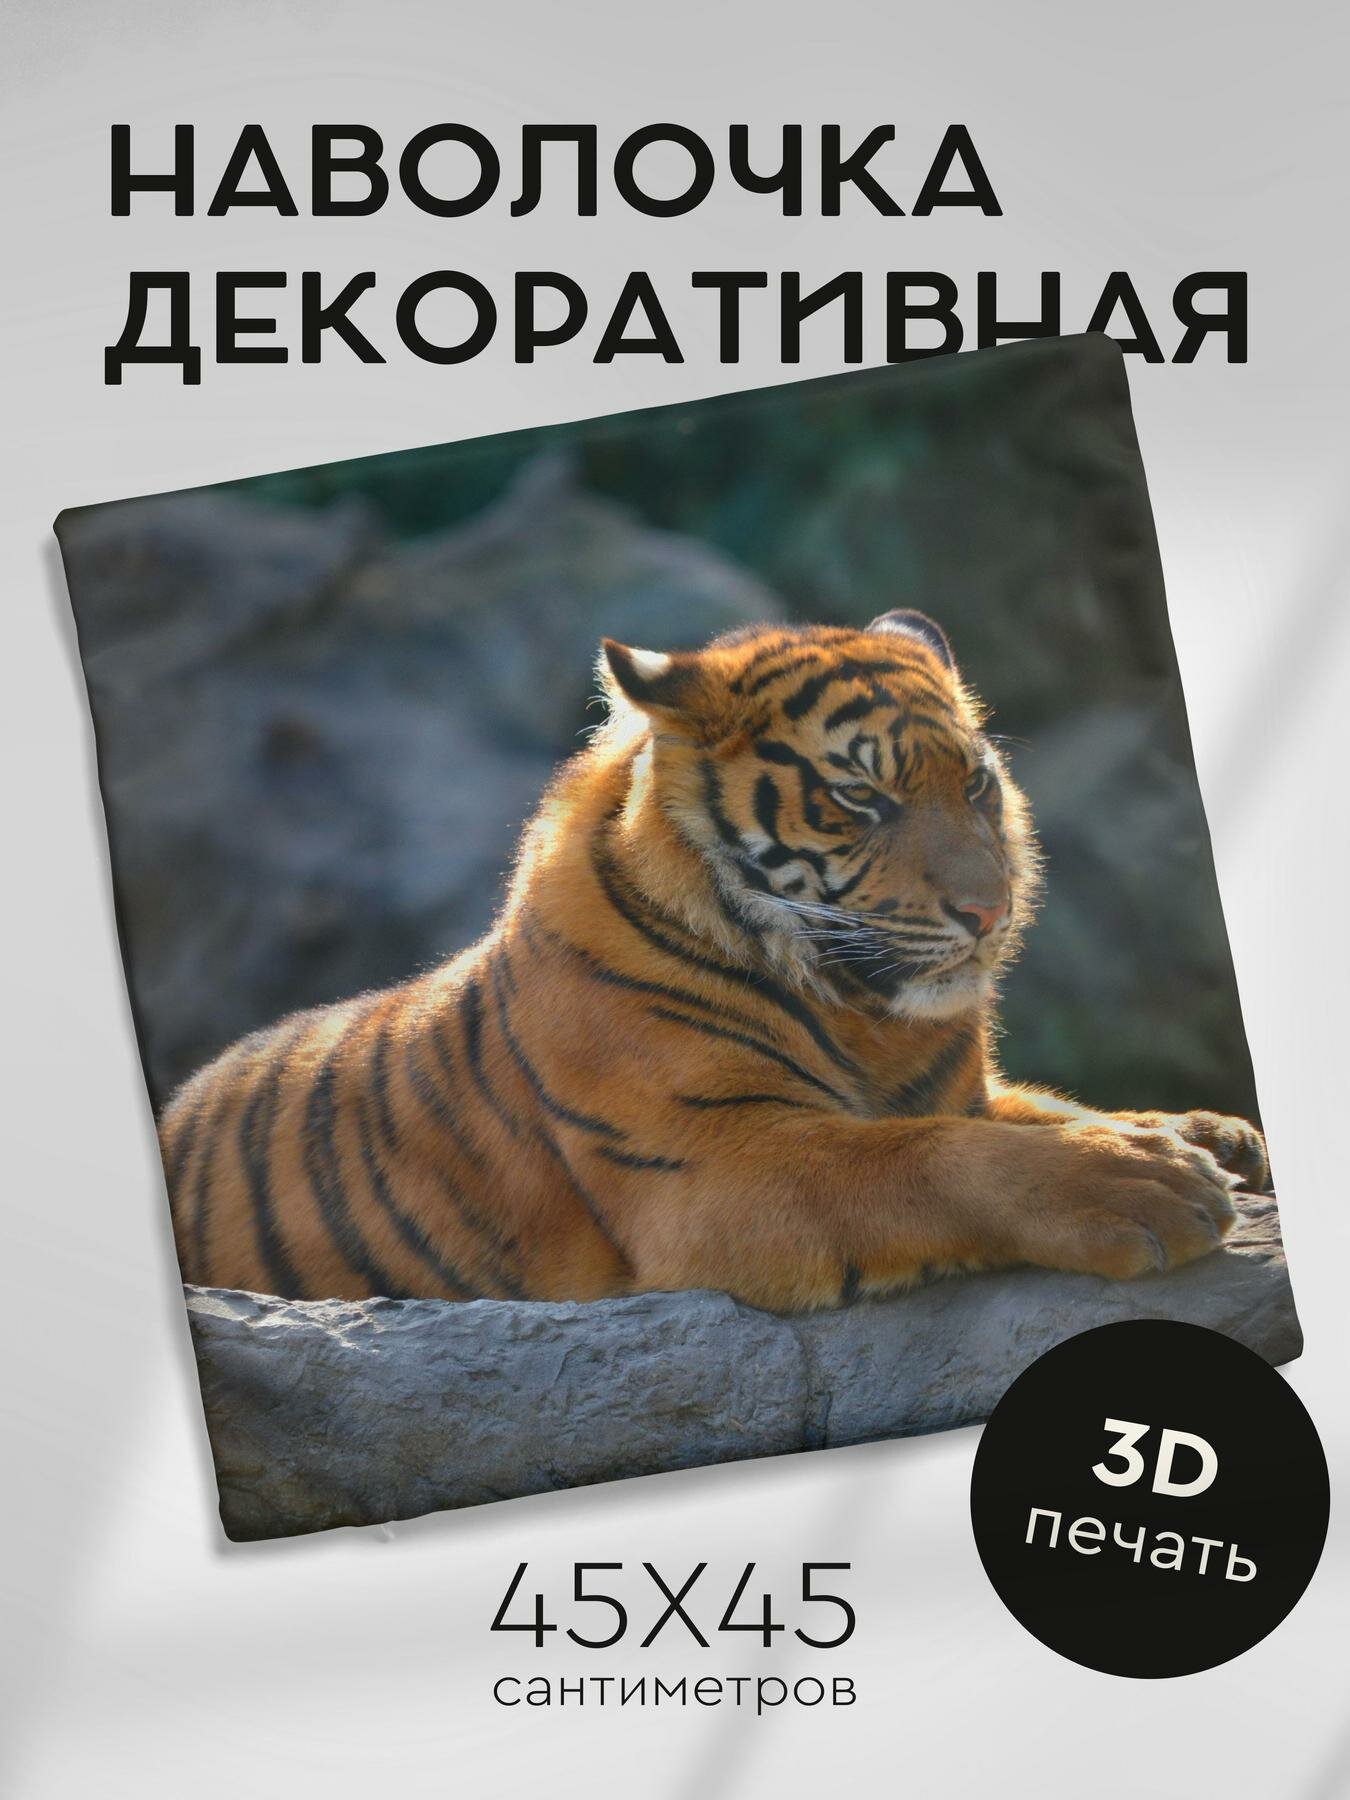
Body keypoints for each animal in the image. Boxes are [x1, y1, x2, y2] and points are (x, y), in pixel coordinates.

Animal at [159, 609, 1268, 1313]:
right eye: (861, 798)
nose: (989, 911)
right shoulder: (715, 1165)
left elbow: (1035, 1107)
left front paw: (1202, 1134)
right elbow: (927, 1156)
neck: (867, 1013)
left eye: (977, 784)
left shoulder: (960, 1088)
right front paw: (1143, 1184)